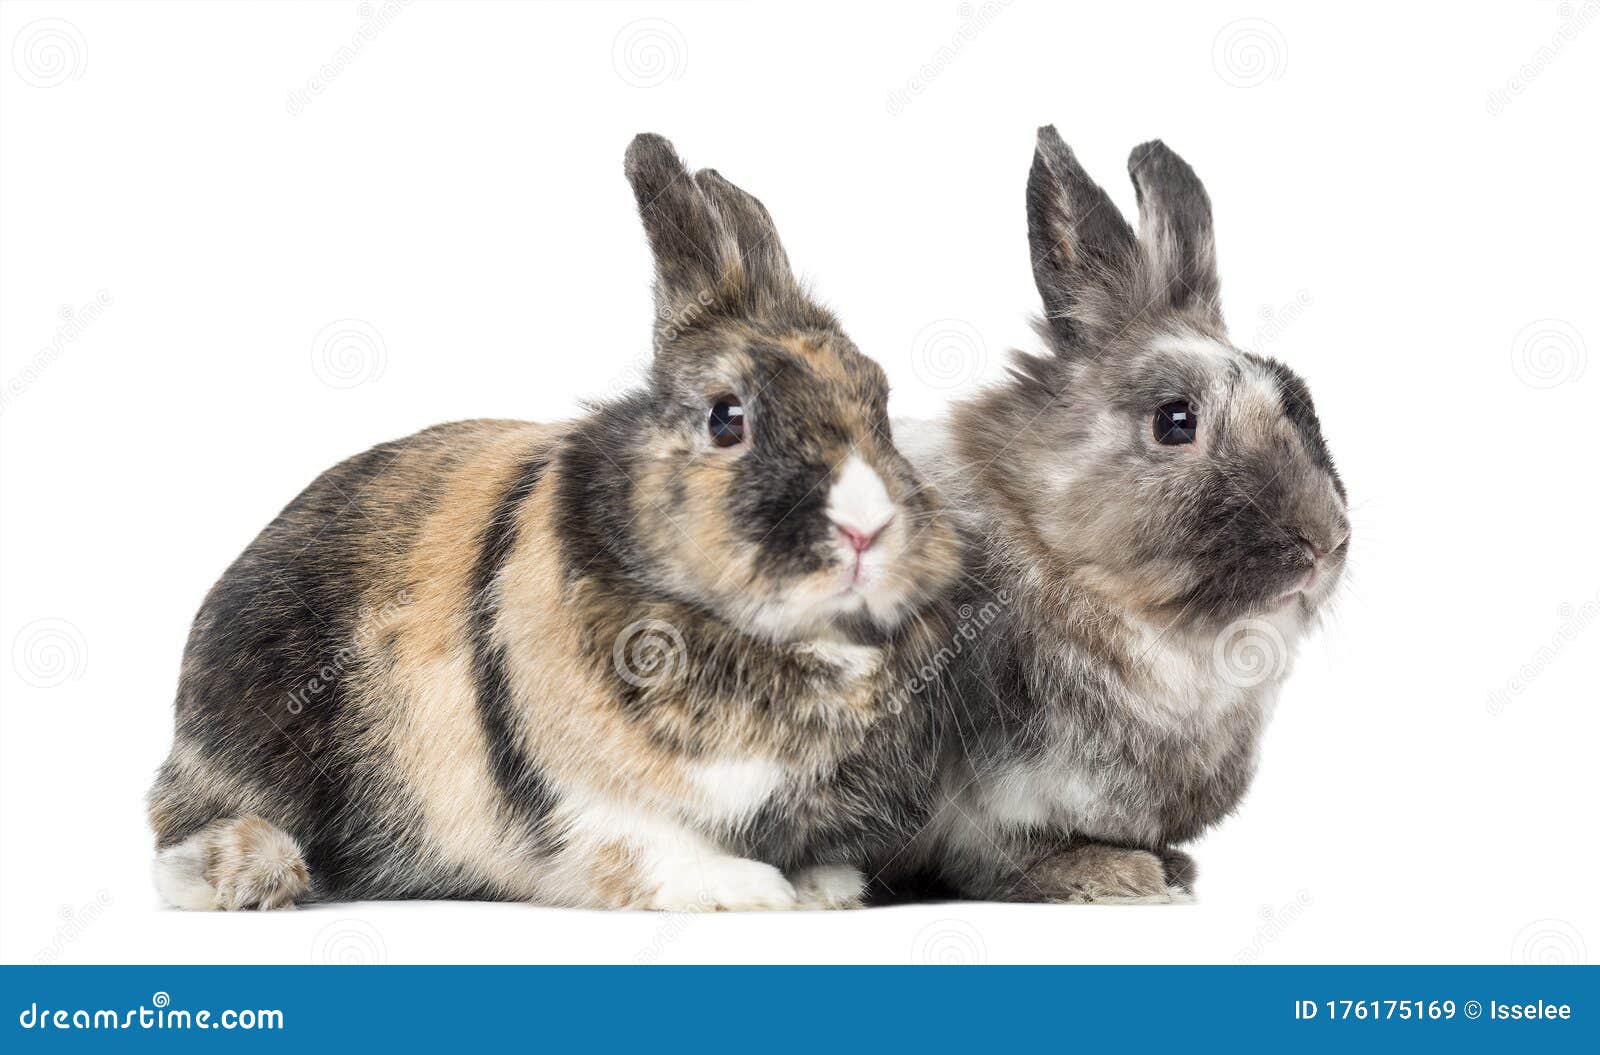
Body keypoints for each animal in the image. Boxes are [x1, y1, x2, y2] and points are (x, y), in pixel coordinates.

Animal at [147, 133, 964, 912]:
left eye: (877, 401)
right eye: (726, 417)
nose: (866, 531)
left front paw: (829, 886)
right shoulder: (590, 798)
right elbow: (650, 849)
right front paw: (753, 890)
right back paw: (252, 874)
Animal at [887, 127, 1349, 903]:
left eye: (1302, 402)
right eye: (1174, 420)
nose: (1324, 541)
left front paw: (1173, 868)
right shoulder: (984, 800)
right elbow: (1001, 859)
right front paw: (1116, 874)